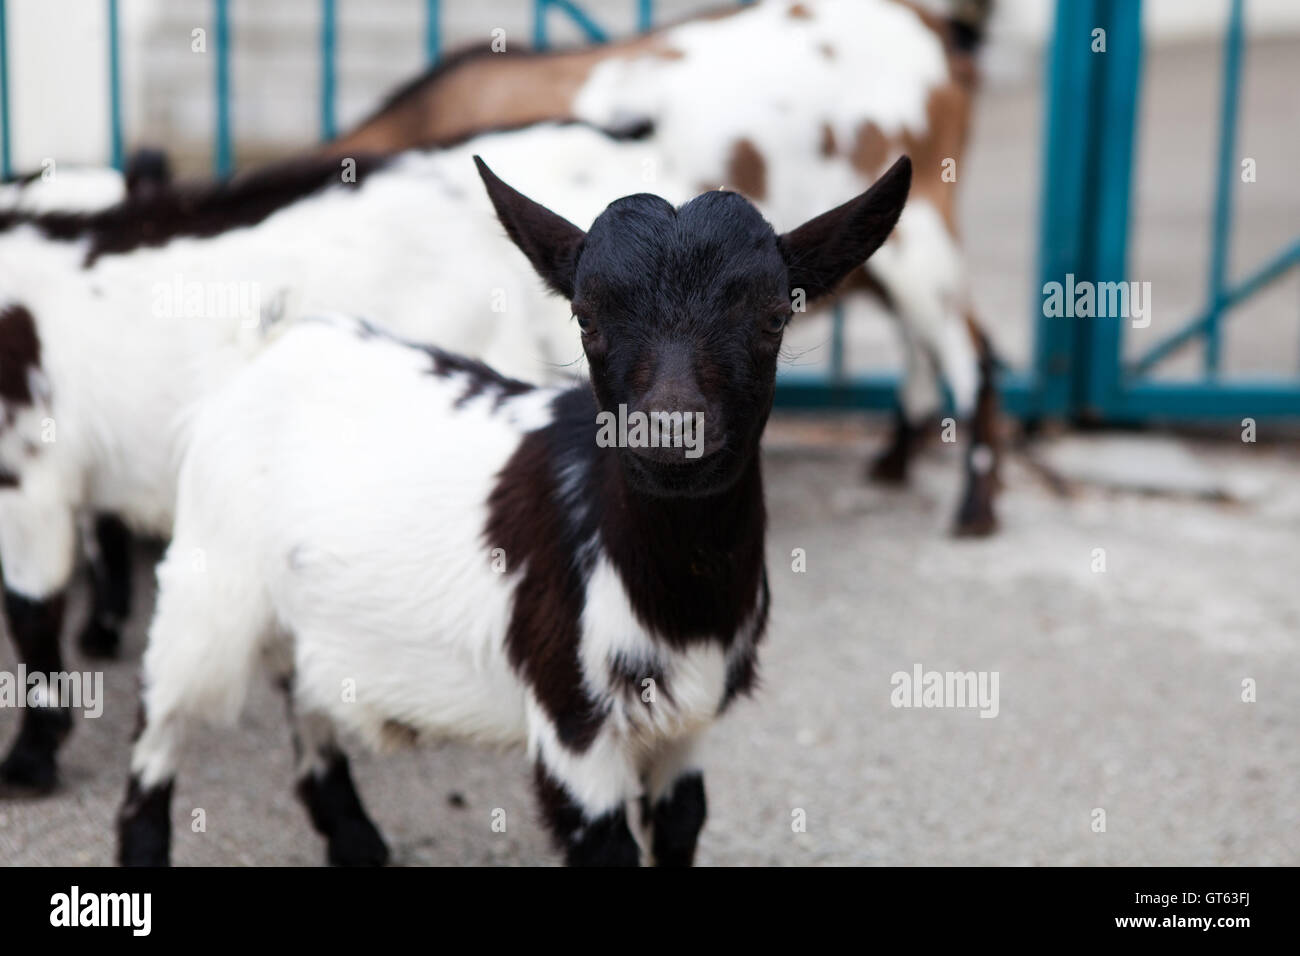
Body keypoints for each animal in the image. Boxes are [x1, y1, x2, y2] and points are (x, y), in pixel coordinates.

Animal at [117, 154, 912, 867]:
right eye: (586, 317)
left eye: (775, 317)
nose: (669, 426)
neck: (675, 598)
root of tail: (277, 348)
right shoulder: (573, 724)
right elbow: (607, 848)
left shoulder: (687, 727)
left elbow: (684, 825)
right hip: (209, 581)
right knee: (161, 721)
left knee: (308, 699)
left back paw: (356, 843)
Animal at [325, 0, 1001, 536]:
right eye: (585, 317)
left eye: (774, 319)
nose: (672, 429)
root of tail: (938, 31)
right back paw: (896, 458)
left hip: (921, 220)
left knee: (965, 339)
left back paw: (973, 505)